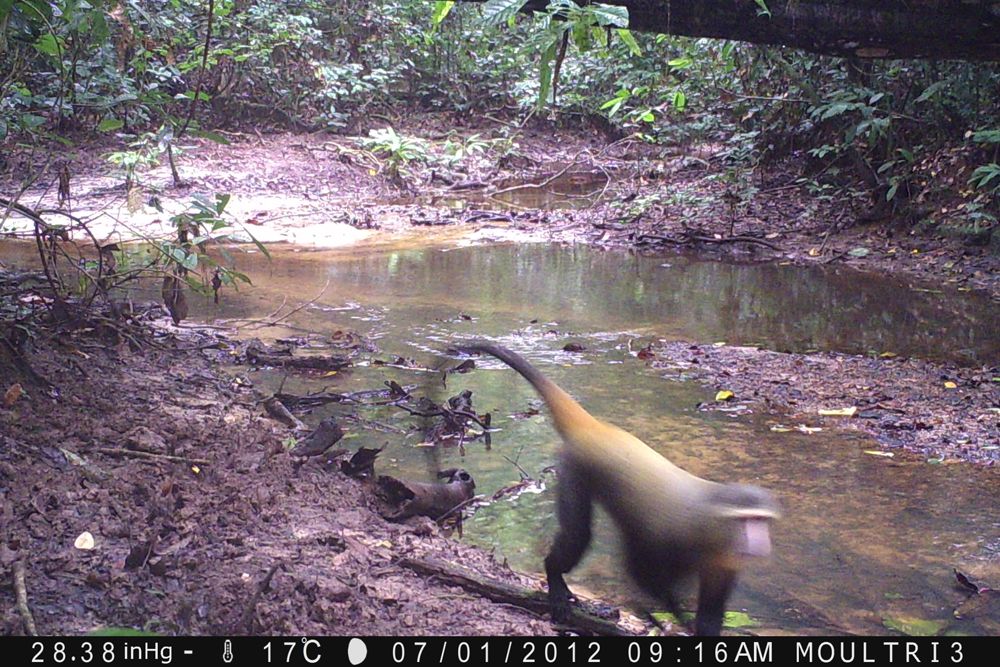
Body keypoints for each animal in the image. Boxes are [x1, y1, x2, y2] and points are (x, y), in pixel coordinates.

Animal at [459, 342, 779, 636]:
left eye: (762, 520)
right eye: (747, 520)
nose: (760, 542)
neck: (711, 523)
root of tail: (596, 429)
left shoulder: (723, 563)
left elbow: (709, 611)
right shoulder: (668, 539)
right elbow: (639, 574)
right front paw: (667, 617)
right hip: (575, 469)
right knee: (578, 535)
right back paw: (555, 577)